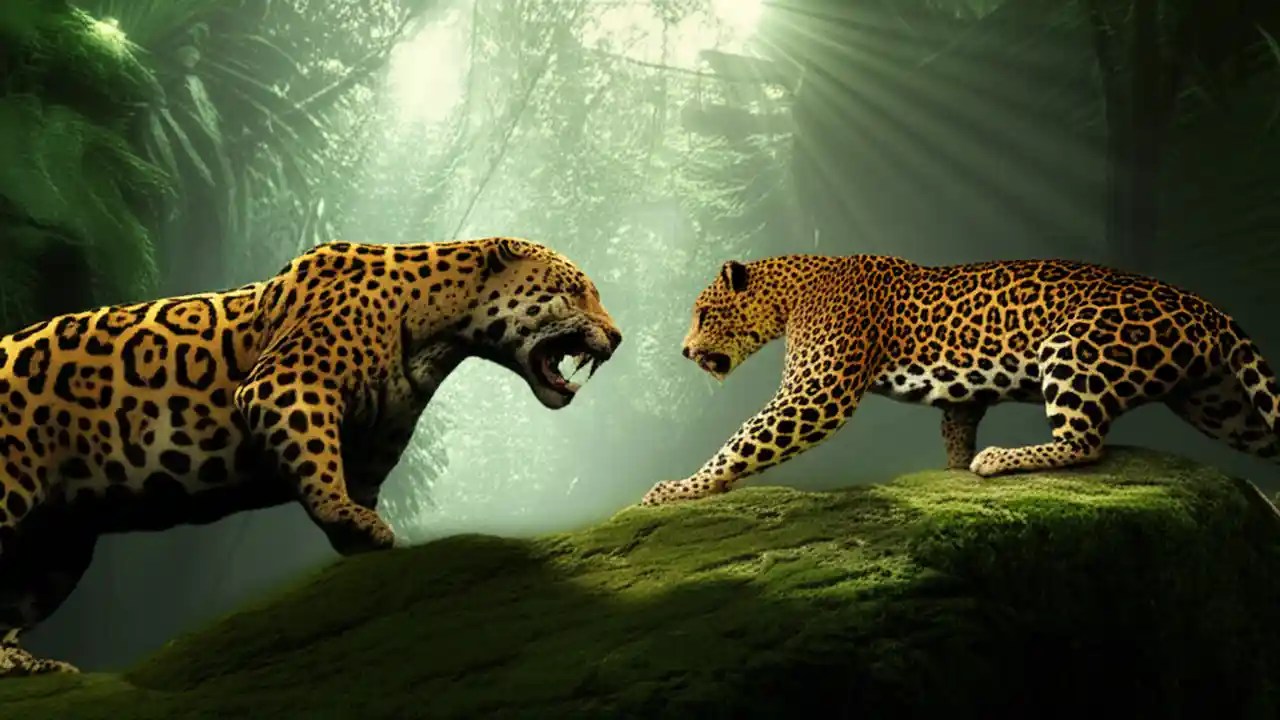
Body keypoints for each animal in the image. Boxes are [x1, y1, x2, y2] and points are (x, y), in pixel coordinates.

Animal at [0, 236, 621, 677]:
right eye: (574, 291)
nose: (616, 338)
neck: (439, 328)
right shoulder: (285, 385)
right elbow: (318, 464)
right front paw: (353, 522)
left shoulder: (373, 441)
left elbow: (354, 481)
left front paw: (363, 537)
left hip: (58, 547)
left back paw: (26, 664)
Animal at [641, 254, 1280, 509]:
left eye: (703, 313)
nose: (684, 350)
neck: (792, 293)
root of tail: (1206, 306)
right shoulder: (965, 396)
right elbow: (956, 425)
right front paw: (950, 468)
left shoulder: (816, 391)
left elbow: (743, 441)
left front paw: (679, 489)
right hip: (1220, 404)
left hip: (1072, 348)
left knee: (1086, 442)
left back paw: (1000, 459)